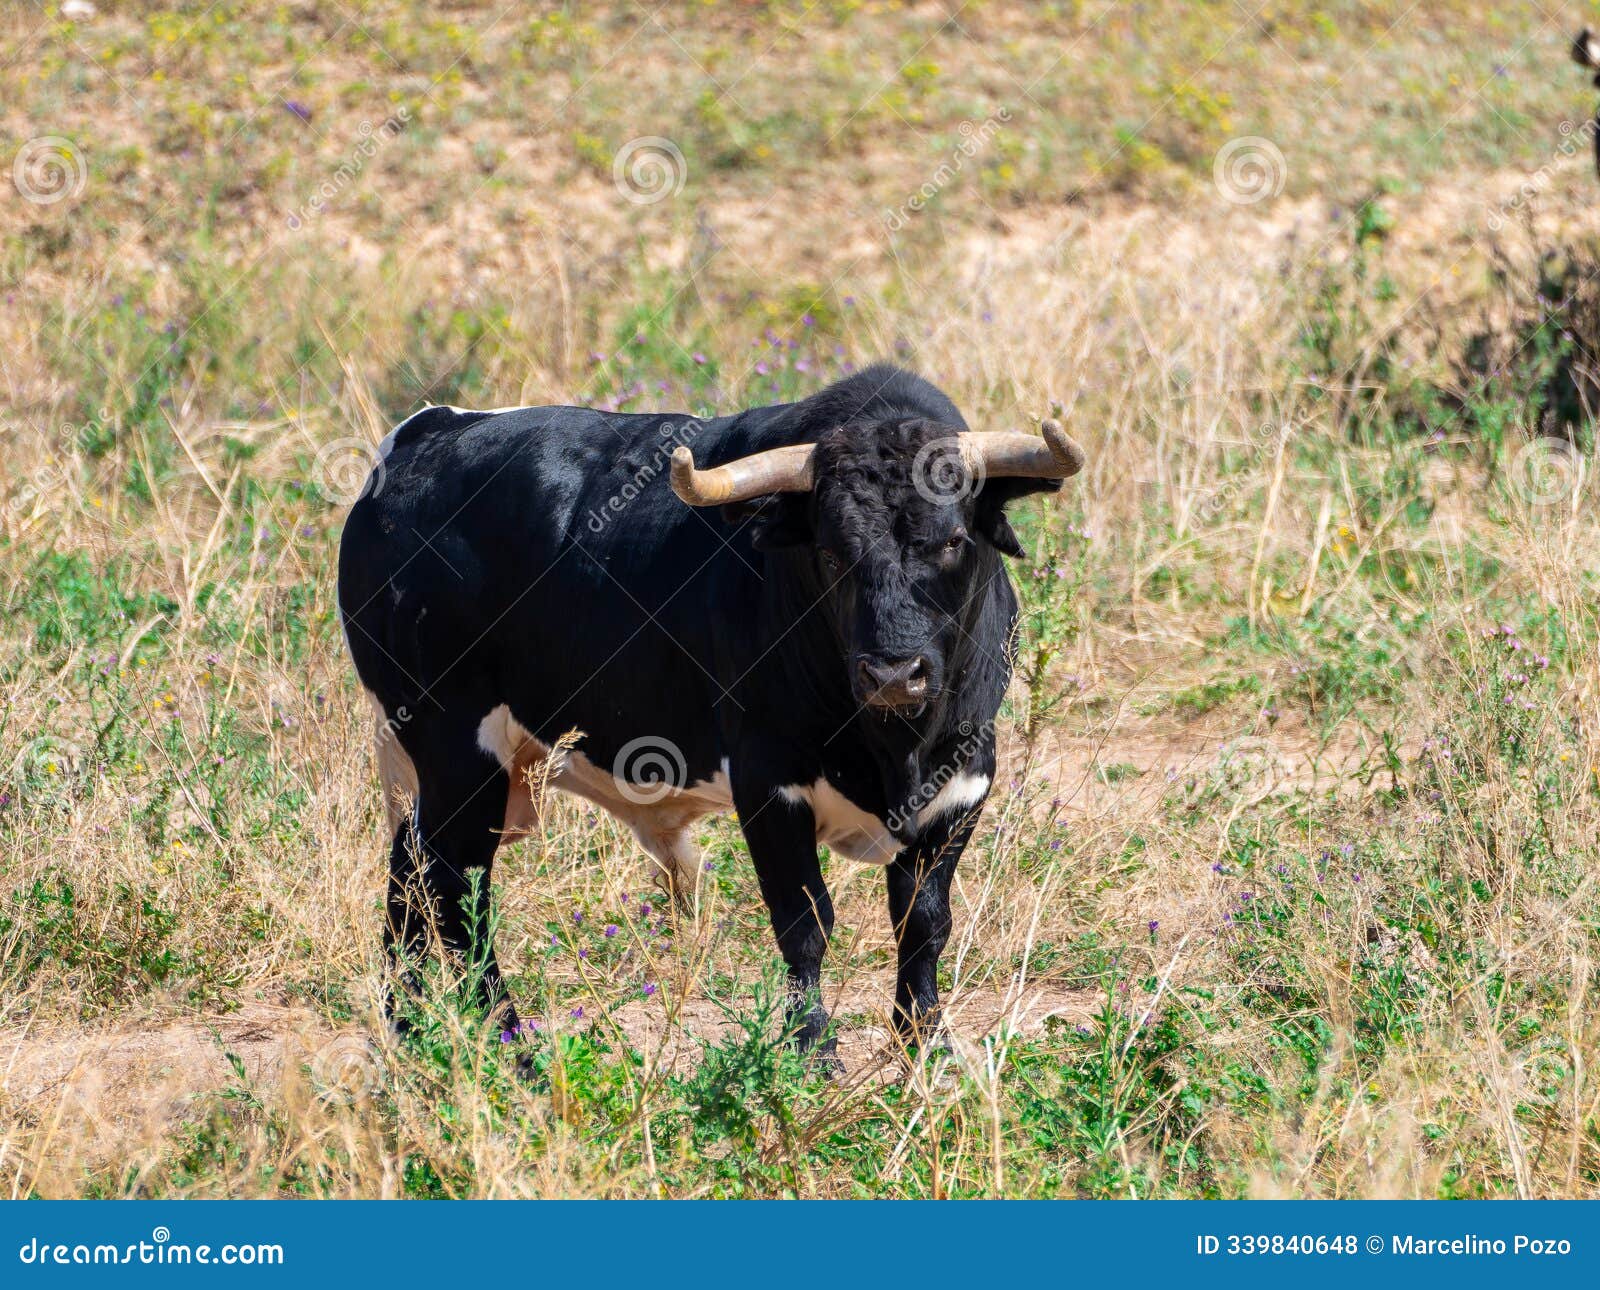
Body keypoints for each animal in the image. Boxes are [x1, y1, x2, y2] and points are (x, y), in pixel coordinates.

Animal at [337, 364, 1085, 1057]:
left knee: (410, 878)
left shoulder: (964, 782)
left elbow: (924, 922)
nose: (893, 672)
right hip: (455, 750)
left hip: (435, 768)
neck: (894, 749)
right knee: (457, 890)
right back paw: (508, 1042)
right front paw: (811, 1051)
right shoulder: (767, 783)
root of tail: (425, 433)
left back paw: (407, 1030)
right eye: (830, 551)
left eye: (954, 540)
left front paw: (924, 1046)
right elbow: (804, 921)